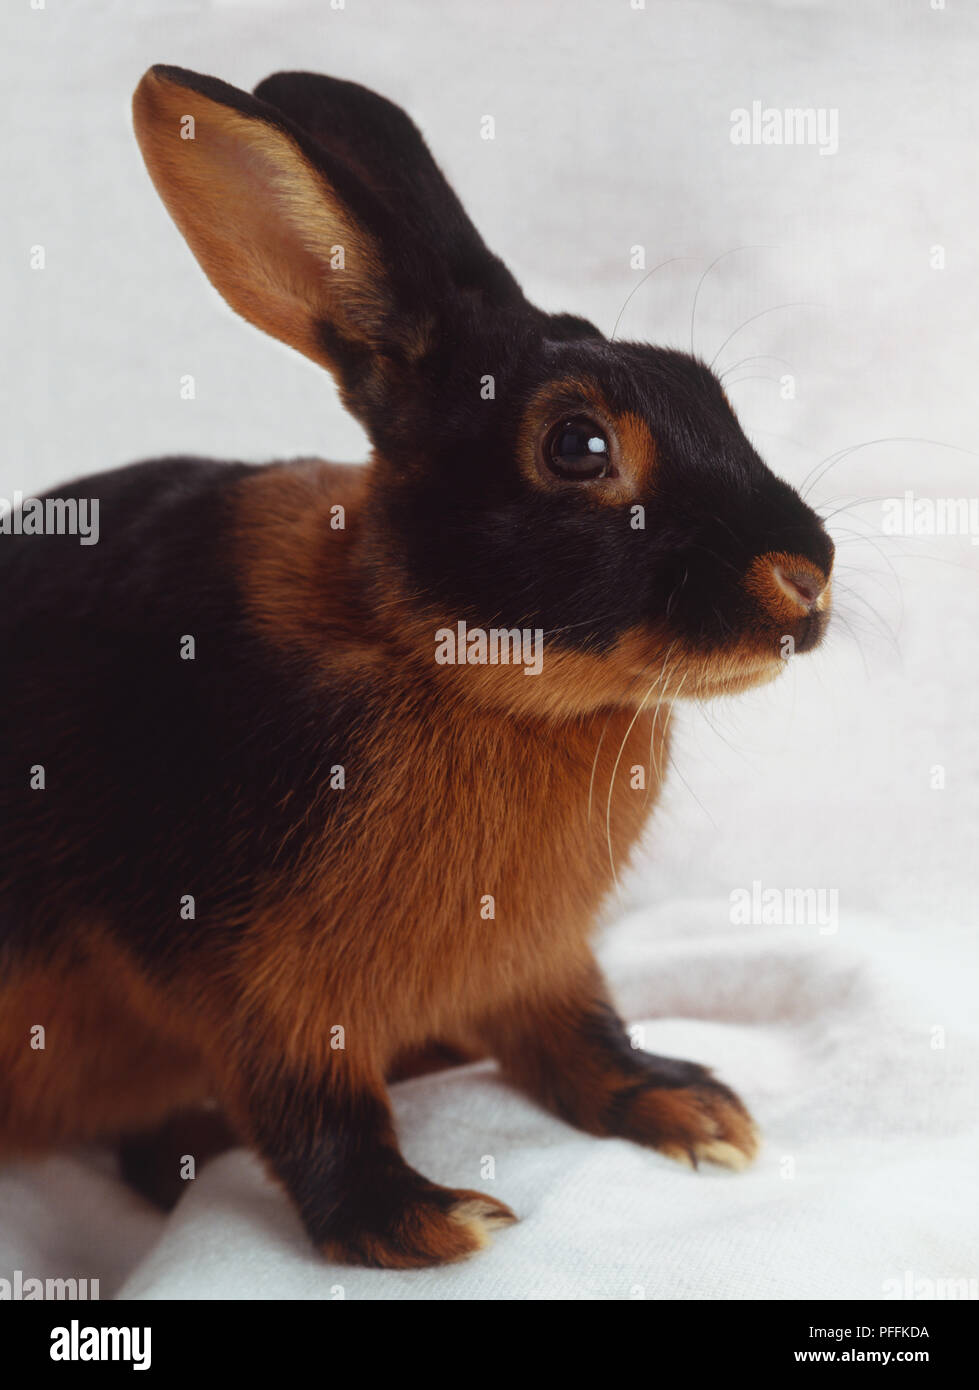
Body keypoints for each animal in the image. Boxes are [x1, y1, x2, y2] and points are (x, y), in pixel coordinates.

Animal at [0, 65, 834, 1269]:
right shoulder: (262, 987)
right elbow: (314, 1110)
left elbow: (581, 1033)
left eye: (707, 389)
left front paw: (688, 1106)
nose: (805, 578)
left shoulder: (543, 959)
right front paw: (423, 1220)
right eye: (577, 445)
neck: (438, 655)